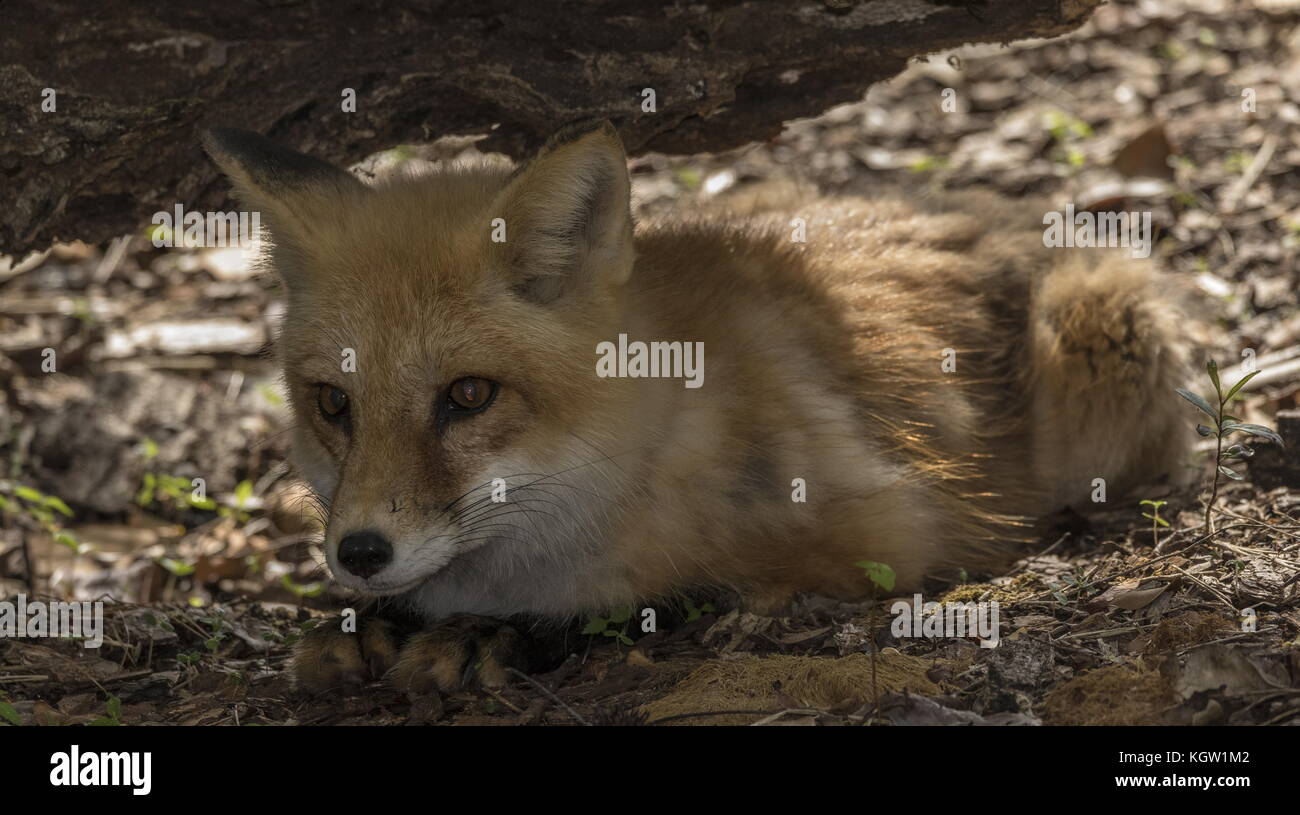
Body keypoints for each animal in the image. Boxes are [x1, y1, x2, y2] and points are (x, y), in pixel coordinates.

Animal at [203, 121, 1192, 694]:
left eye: (468, 394)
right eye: (333, 401)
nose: (360, 553)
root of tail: (976, 209)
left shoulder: (874, 537)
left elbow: (654, 600)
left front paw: (494, 634)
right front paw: (369, 626)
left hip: (1103, 351)